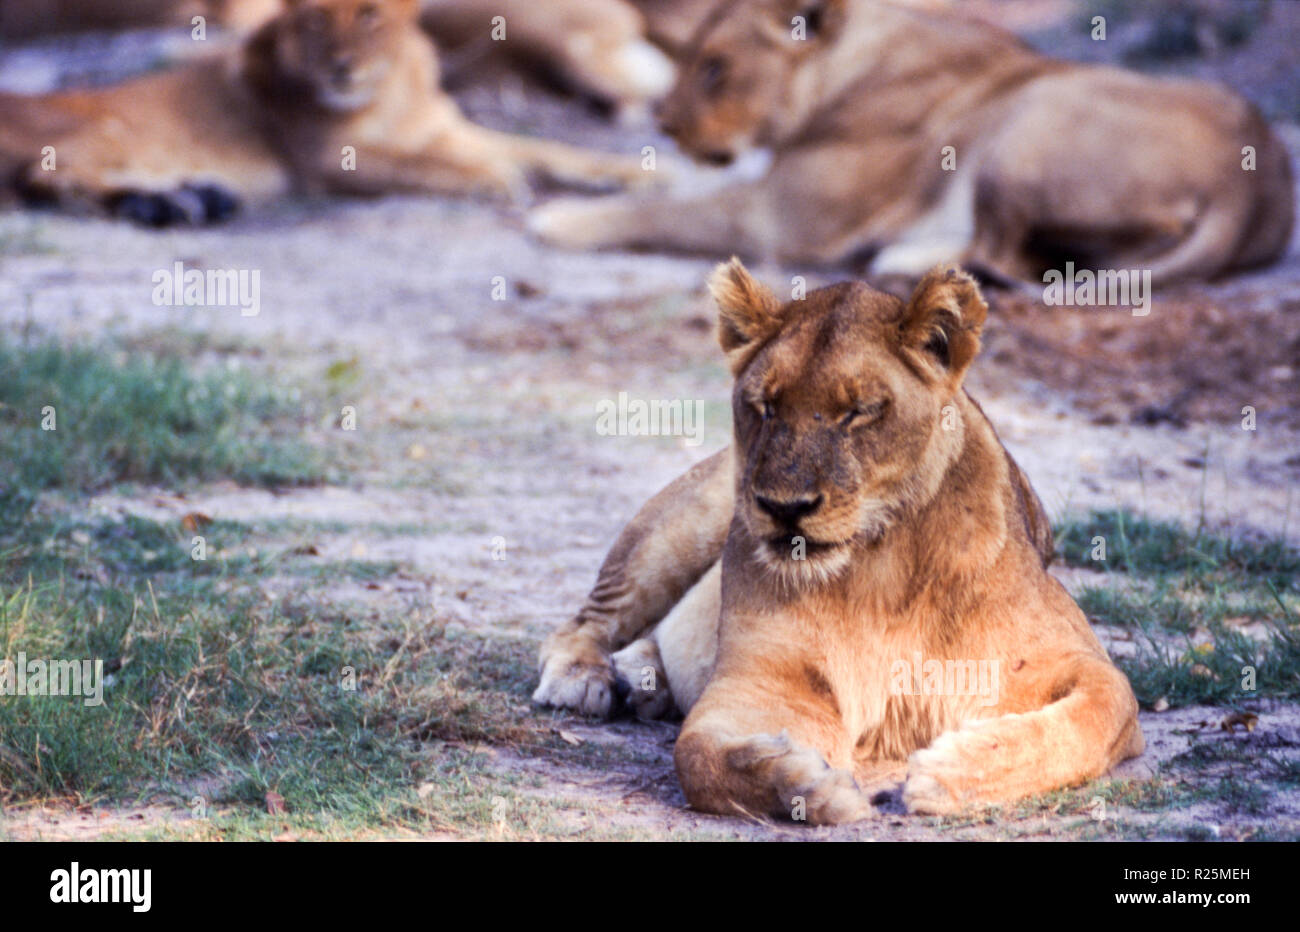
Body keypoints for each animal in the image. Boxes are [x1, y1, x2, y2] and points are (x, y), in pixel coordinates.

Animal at [0, 0, 648, 224]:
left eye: (368, 14)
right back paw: (167, 205)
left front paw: (635, 171)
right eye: (314, 18)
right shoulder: (329, 163)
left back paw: (191, 197)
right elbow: (420, 167)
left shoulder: (449, 129)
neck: (391, 92)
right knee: (45, 178)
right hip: (99, 127)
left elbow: (549, 147)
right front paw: (492, 179)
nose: (341, 68)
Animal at [531, 0, 1294, 285]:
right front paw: (584, 177)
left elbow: (665, 212)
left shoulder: (780, 216)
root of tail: (1252, 186)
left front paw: (561, 218)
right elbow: (671, 183)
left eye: (715, 68)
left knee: (1003, 257)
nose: (663, 123)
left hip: (1026, 123)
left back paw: (903, 259)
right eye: (689, 59)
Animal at [533, 259, 1144, 822]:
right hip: (684, 523)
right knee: (587, 620)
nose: (785, 507)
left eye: (859, 412)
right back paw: (584, 679)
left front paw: (949, 775)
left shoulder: (1077, 662)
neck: (882, 568)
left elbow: (1100, 712)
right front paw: (808, 785)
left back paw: (645, 681)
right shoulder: (761, 680)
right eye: (765, 405)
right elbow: (699, 756)